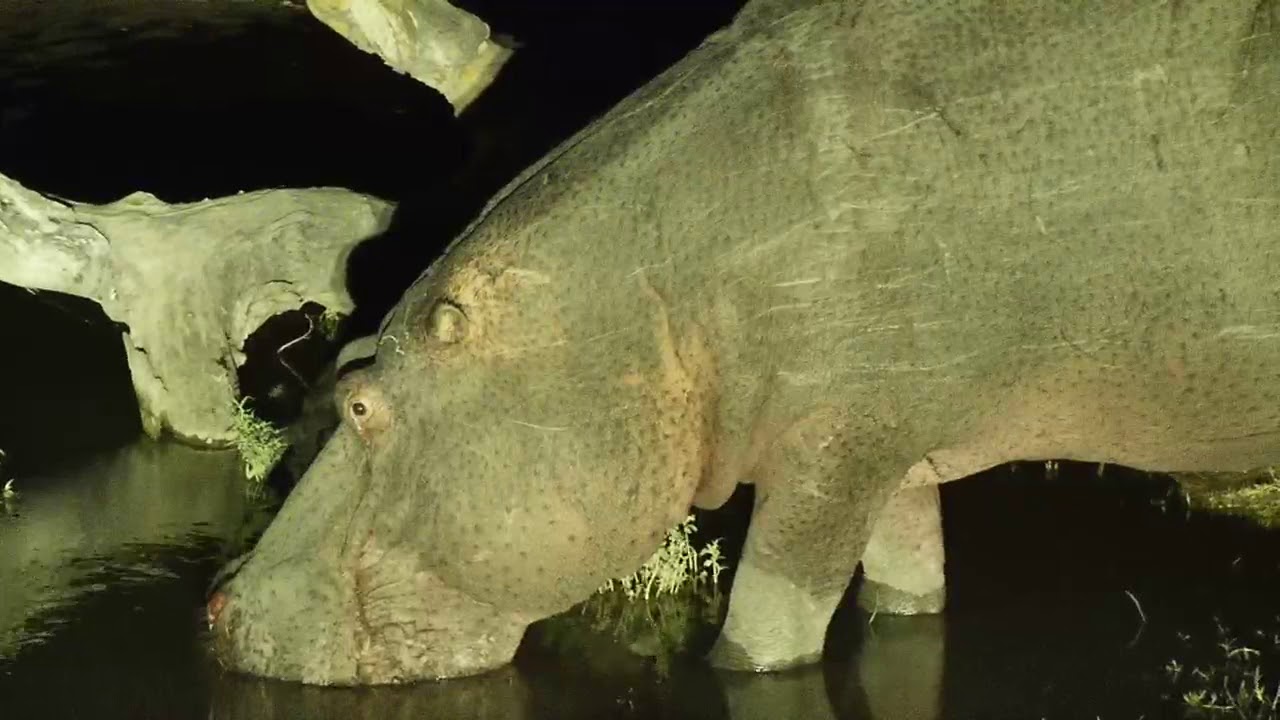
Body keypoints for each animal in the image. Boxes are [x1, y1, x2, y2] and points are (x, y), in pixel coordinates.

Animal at [206, 0, 1280, 684]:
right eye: (341, 368)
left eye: (360, 404)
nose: (214, 608)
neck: (651, 282)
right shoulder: (891, 446)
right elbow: (905, 584)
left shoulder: (830, 455)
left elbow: (768, 626)